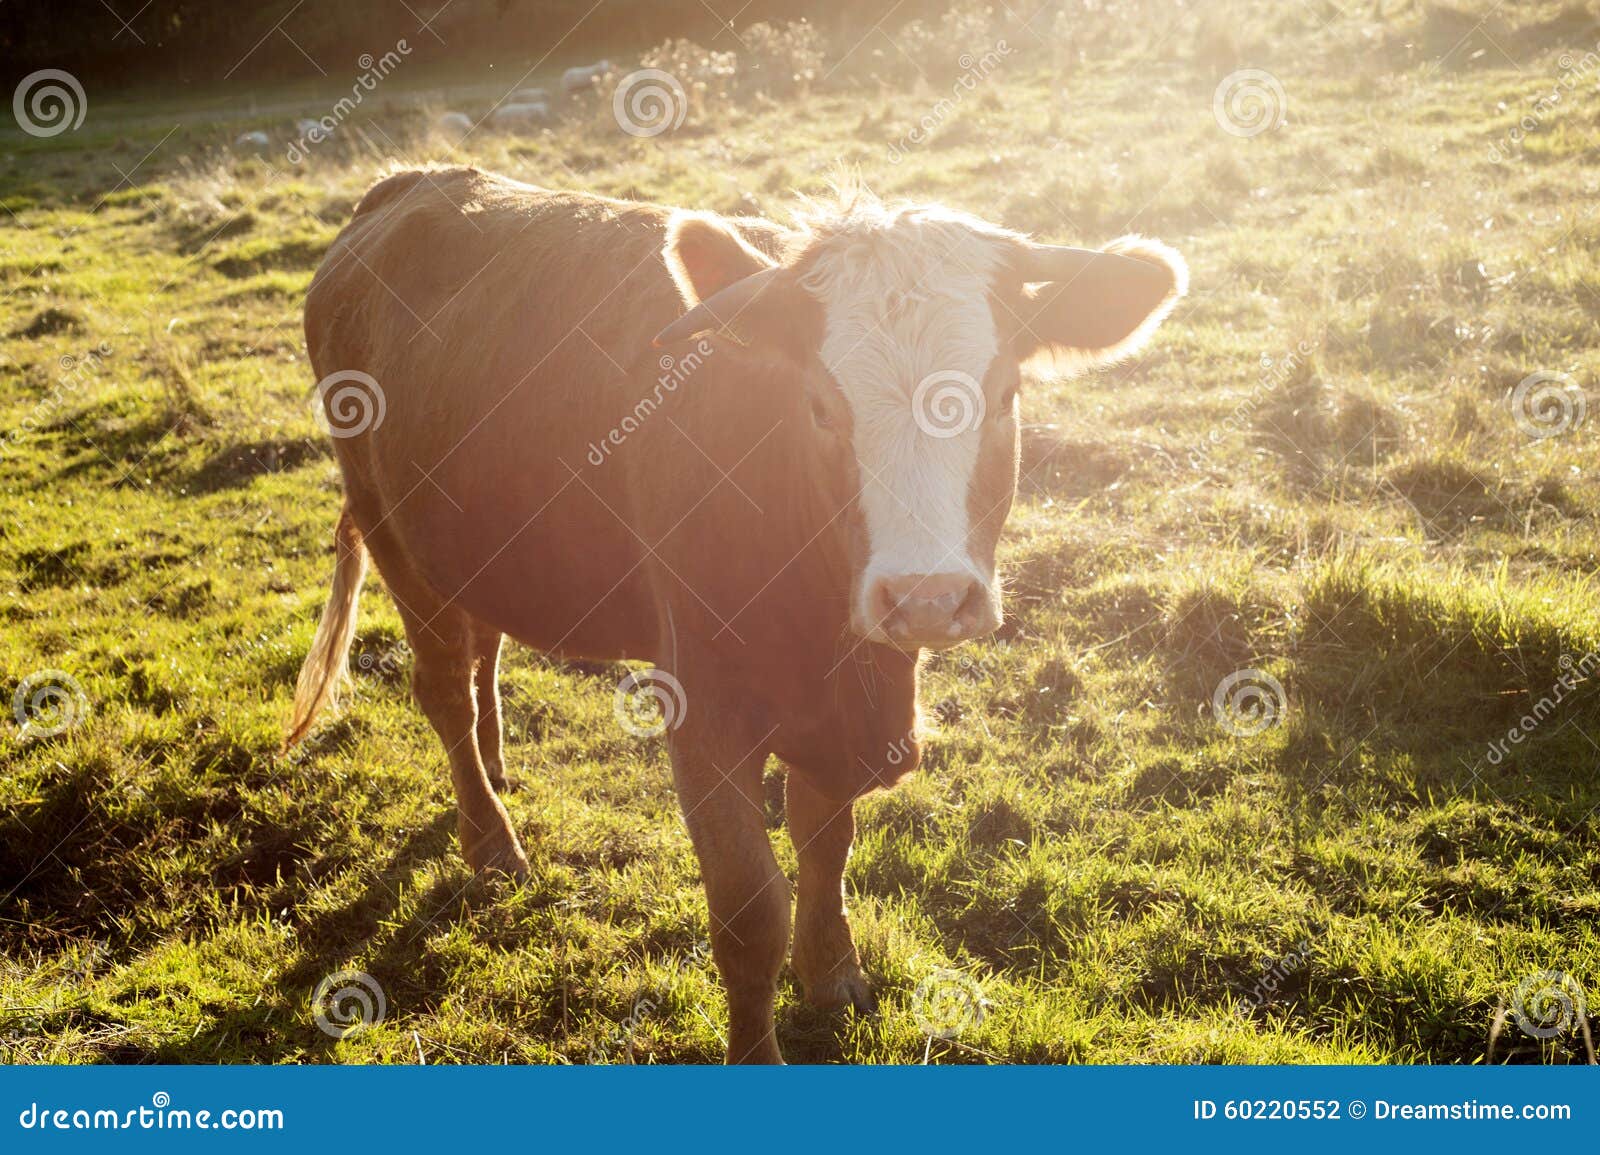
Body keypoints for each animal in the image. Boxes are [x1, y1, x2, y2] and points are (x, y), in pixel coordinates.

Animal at [286, 165, 1185, 1063]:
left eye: (1003, 395)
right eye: (820, 406)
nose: (926, 595)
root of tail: (409, 184)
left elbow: (825, 847)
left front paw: (834, 973)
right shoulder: (706, 708)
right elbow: (751, 909)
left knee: (484, 652)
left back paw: (499, 768)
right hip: (394, 534)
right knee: (443, 688)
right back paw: (492, 841)